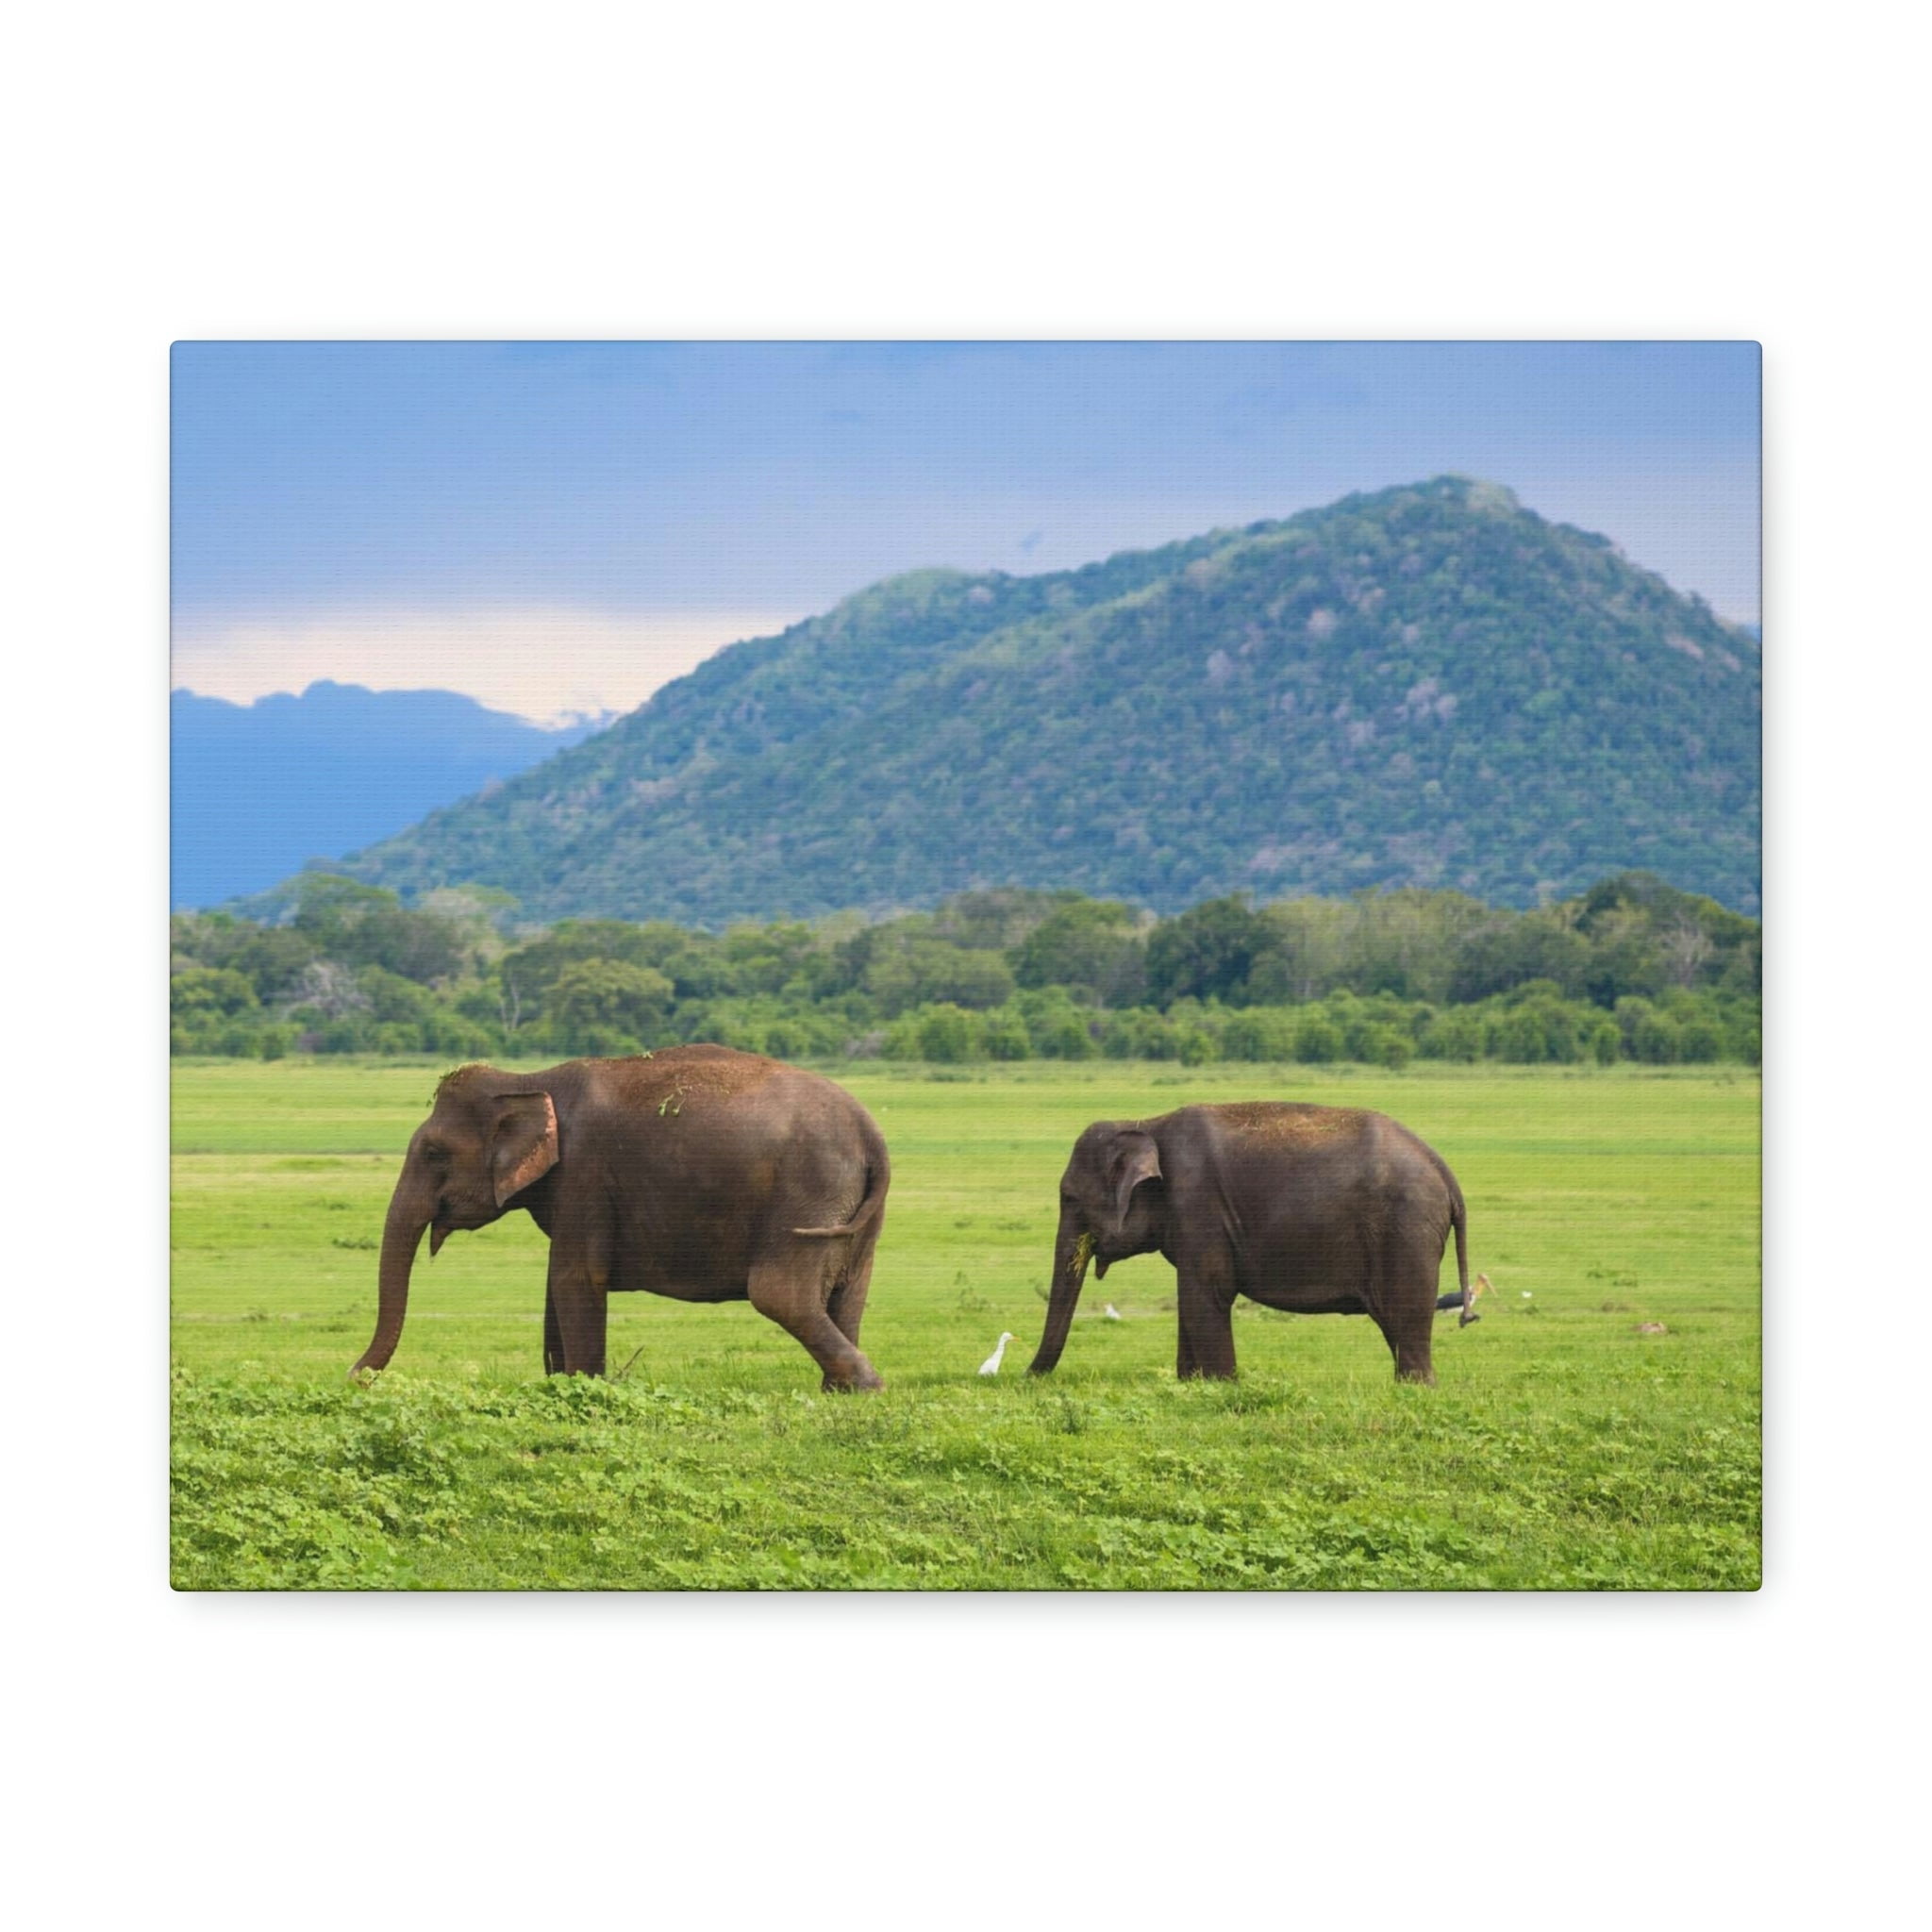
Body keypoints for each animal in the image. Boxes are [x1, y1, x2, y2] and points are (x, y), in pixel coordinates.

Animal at [351, 1045, 890, 1390]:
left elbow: (575, 1279)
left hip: (807, 1192)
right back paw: (838, 1392)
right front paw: (558, 1384)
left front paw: (584, 1386)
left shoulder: (583, 1175)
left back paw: (867, 1386)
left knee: (781, 1294)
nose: (356, 1378)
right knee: (849, 1293)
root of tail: (871, 1132)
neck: (528, 1081)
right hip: (854, 1210)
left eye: (434, 1153)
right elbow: (555, 1284)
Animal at [1028, 1102, 1476, 1386]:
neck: (1147, 1123)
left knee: (1406, 1324)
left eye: (1069, 1197)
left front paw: (1222, 1385)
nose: (1025, 1377)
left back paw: (1414, 1389)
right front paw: (1191, 1384)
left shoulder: (1199, 1207)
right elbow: (1191, 1300)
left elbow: (1206, 1294)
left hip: (1406, 1233)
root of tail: (1446, 1173)